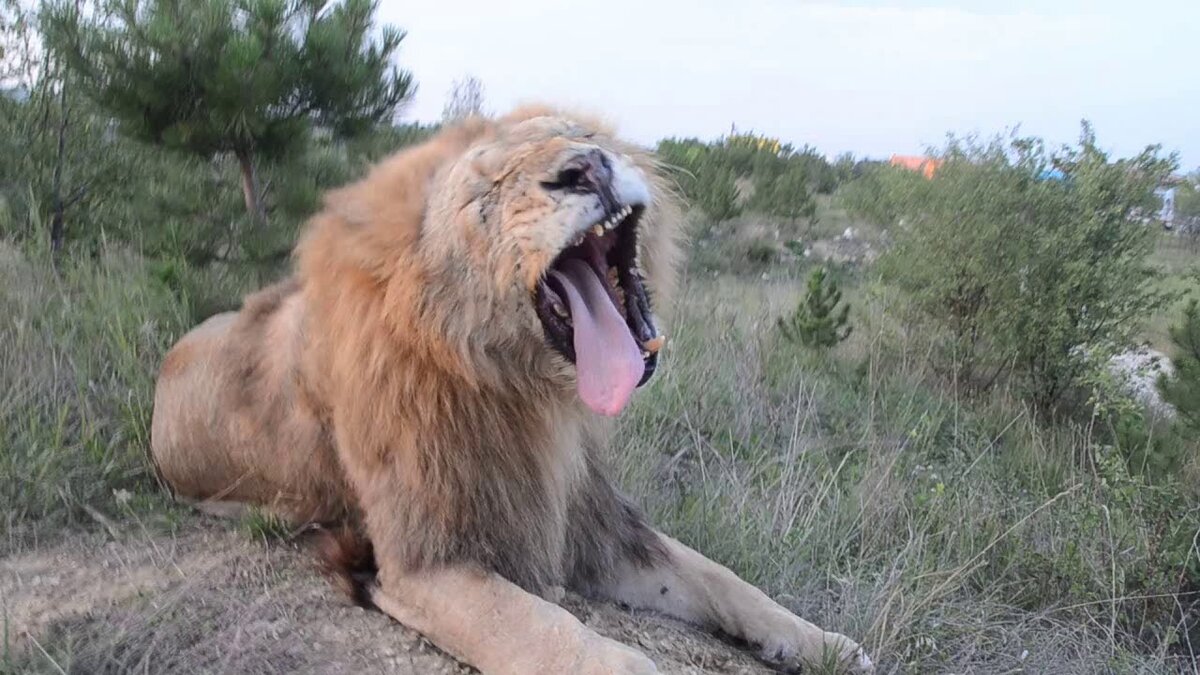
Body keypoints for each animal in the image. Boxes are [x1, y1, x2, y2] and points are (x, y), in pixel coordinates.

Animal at [150, 107, 873, 667]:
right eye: (491, 187)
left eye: (582, 133)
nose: (587, 167)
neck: (529, 393)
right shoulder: (423, 562)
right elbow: (569, 641)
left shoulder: (591, 523)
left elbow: (725, 580)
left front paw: (828, 645)